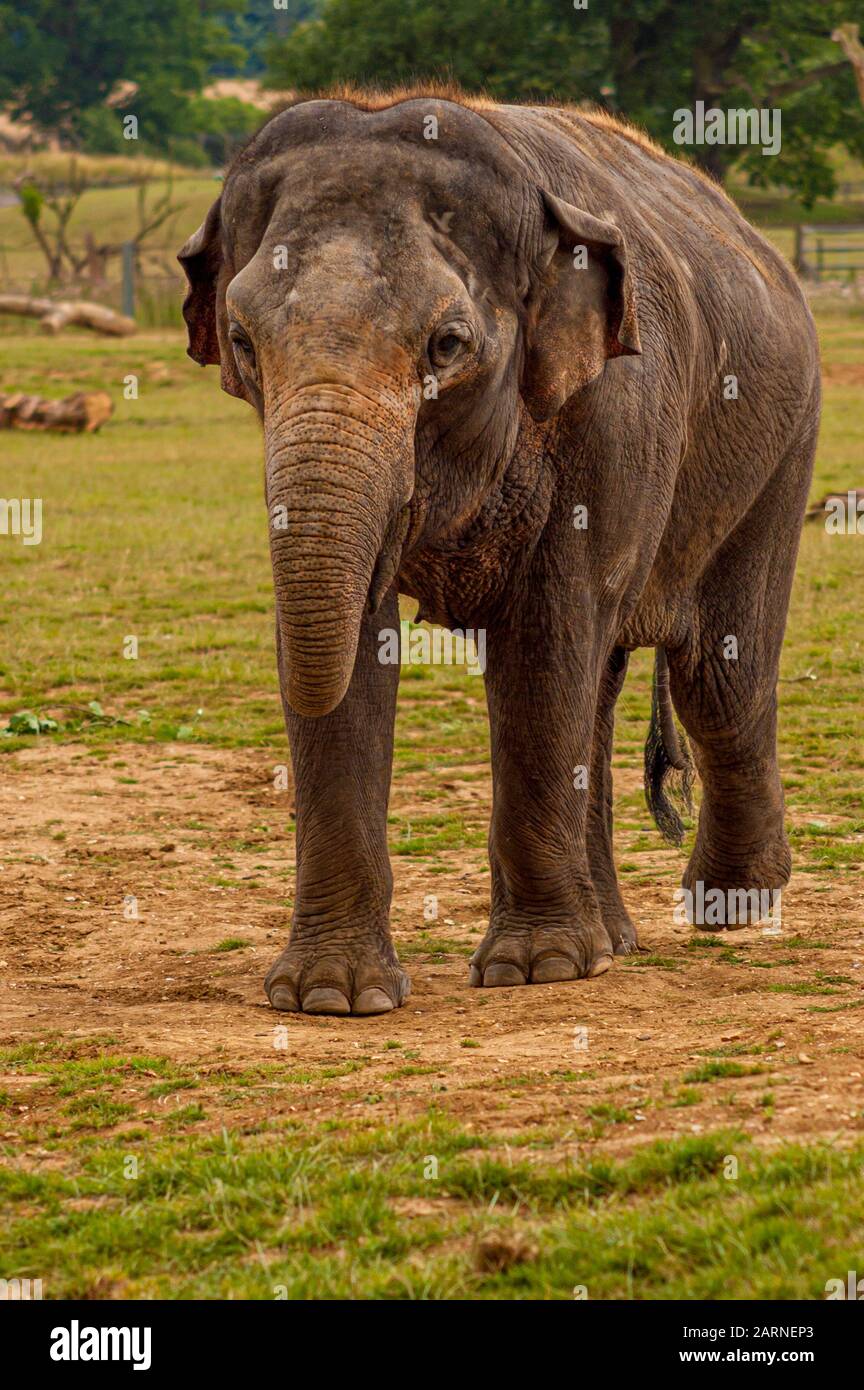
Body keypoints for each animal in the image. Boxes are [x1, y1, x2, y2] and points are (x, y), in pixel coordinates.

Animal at [178, 86, 820, 1016]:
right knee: (607, 685)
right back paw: (616, 938)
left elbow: (545, 636)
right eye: (242, 342)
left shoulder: (612, 412)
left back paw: (728, 910)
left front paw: (537, 969)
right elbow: (365, 643)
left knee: (717, 679)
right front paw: (327, 997)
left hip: (780, 447)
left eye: (448, 345)